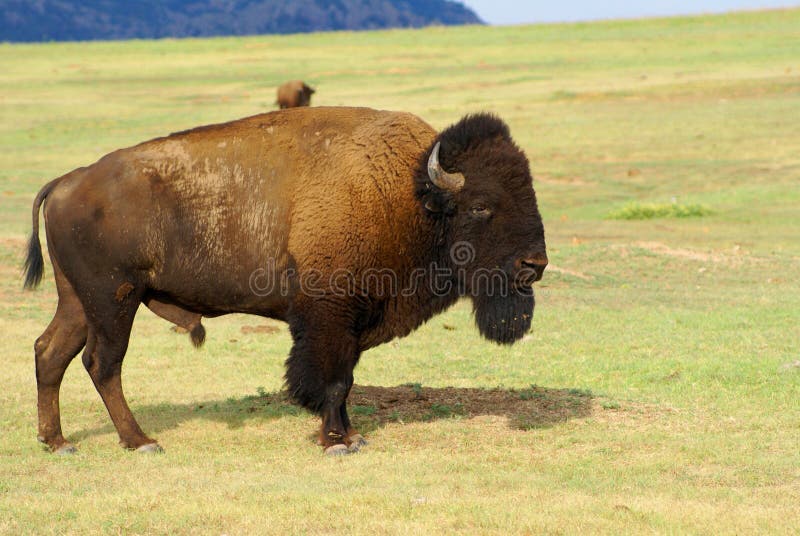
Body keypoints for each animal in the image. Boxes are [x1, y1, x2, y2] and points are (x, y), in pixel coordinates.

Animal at [24, 107, 548, 455]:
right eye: (481, 206)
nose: (535, 264)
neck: (410, 194)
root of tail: (66, 182)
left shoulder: (353, 321)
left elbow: (346, 380)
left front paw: (351, 435)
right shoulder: (327, 317)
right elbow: (332, 379)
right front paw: (335, 442)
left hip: (79, 302)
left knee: (50, 353)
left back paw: (57, 442)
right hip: (115, 300)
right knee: (102, 364)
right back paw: (140, 441)